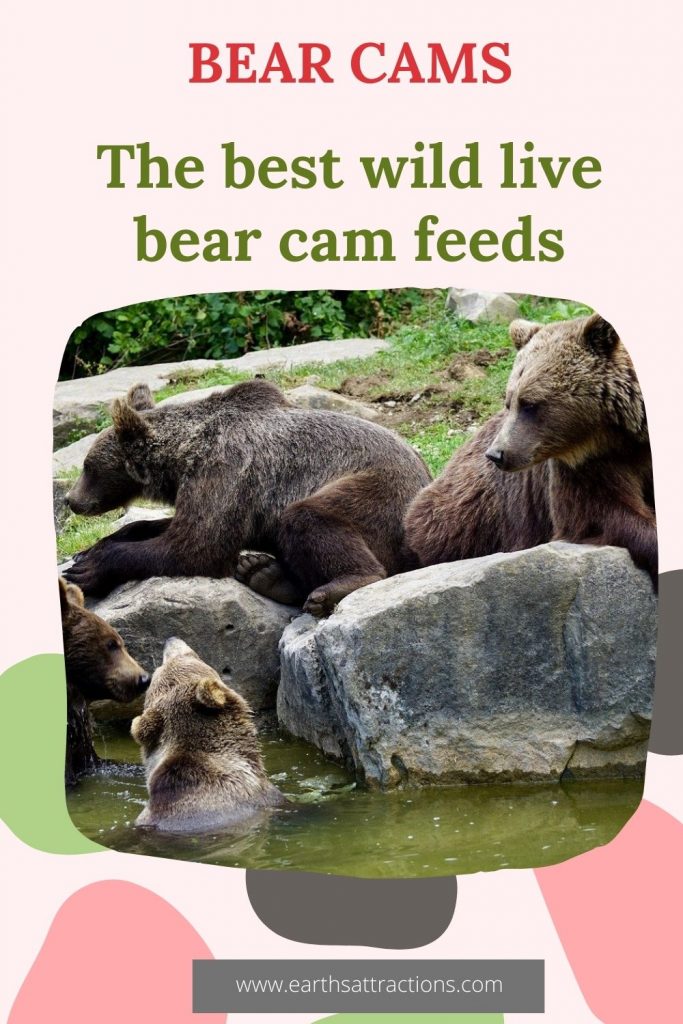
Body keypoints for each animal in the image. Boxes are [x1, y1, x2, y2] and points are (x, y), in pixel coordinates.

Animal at [63, 378, 431, 615]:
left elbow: (195, 546)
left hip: (377, 492)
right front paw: (90, 548)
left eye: (87, 466)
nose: (70, 499)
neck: (182, 458)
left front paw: (89, 568)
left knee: (309, 517)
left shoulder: (226, 468)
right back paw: (264, 573)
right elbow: (170, 526)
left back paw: (333, 587)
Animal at [404, 313, 657, 584]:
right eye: (509, 402)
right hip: (468, 516)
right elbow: (600, 513)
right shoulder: (591, 466)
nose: (496, 454)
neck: (621, 435)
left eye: (530, 404)